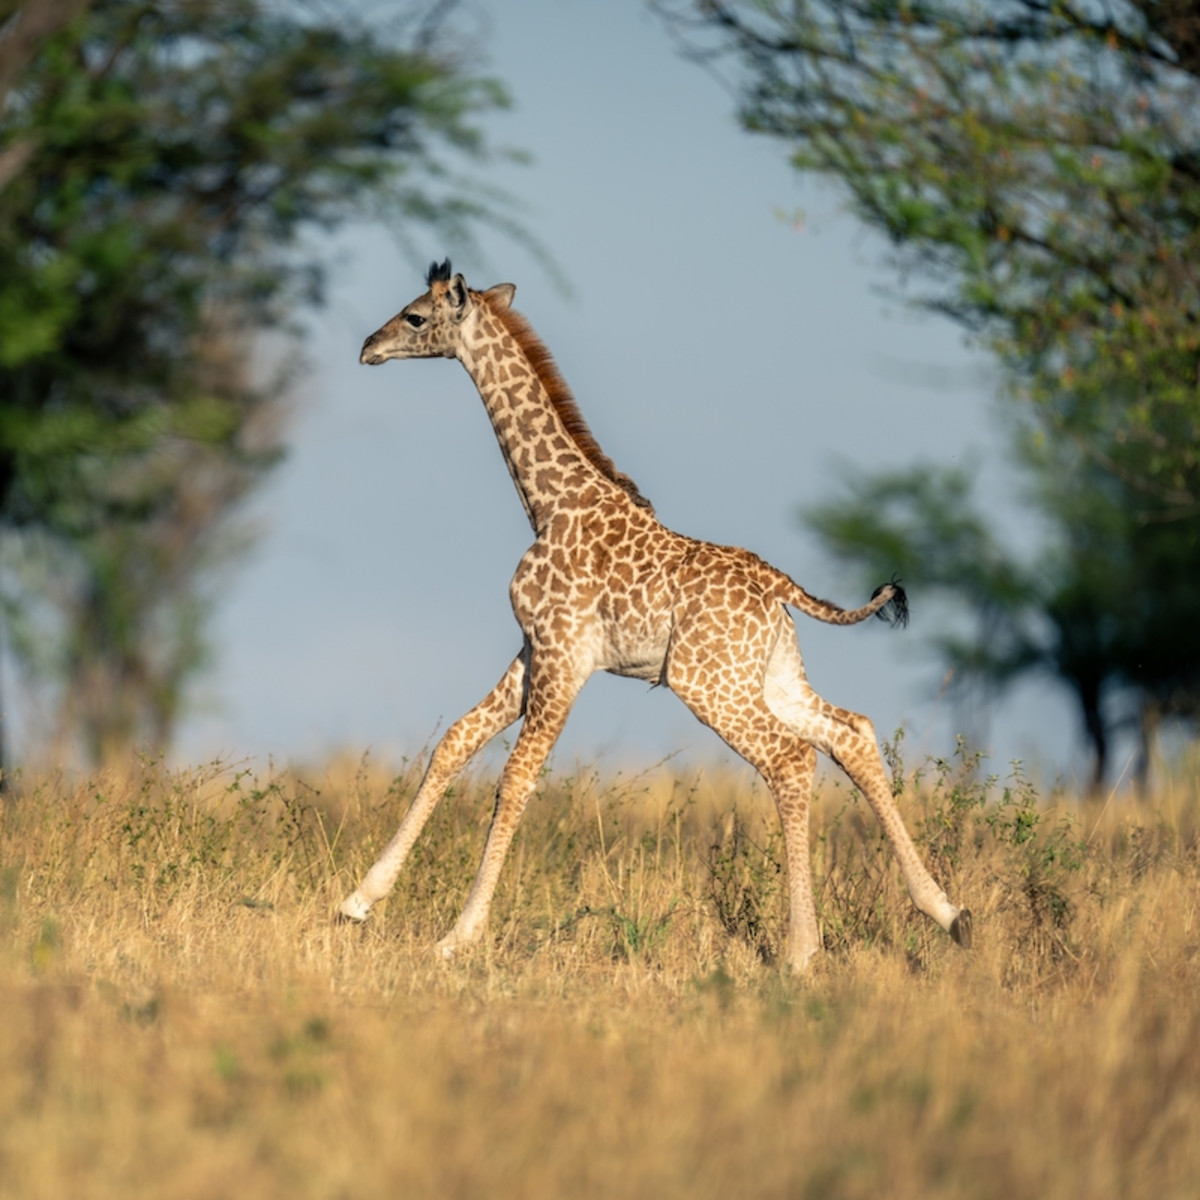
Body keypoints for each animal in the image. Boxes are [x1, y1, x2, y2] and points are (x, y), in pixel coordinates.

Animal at [338, 259, 971, 970]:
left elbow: (517, 777)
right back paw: (950, 914)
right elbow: (453, 742)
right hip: (769, 676)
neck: (551, 503)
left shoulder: (564, 654)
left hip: (708, 685)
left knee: (791, 759)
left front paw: (457, 935)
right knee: (852, 734)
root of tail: (778, 587)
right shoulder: (534, 648)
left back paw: (802, 951)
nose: (368, 347)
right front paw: (357, 902)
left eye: (415, 316)